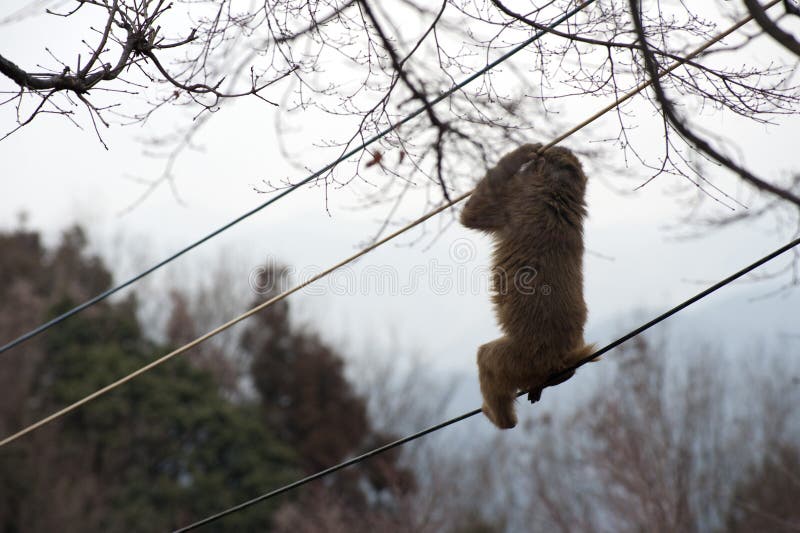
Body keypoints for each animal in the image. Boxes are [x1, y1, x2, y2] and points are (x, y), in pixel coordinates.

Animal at [460, 143, 595, 429]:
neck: (558, 194)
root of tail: (561, 362)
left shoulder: (517, 200)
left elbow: (472, 215)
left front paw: (523, 153)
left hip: (523, 359)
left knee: (487, 358)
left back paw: (501, 419)